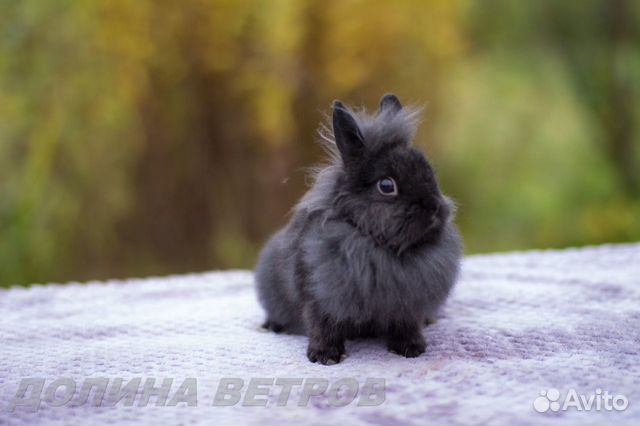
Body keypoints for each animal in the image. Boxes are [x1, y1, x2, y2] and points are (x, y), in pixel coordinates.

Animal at [255, 93, 462, 365]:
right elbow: (322, 326)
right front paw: (325, 357)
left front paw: (411, 349)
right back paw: (272, 326)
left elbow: (407, 326)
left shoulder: (407, 306)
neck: (378, 246)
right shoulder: (319, 297)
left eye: (430, 173)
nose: (435, 209)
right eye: (387, 186)